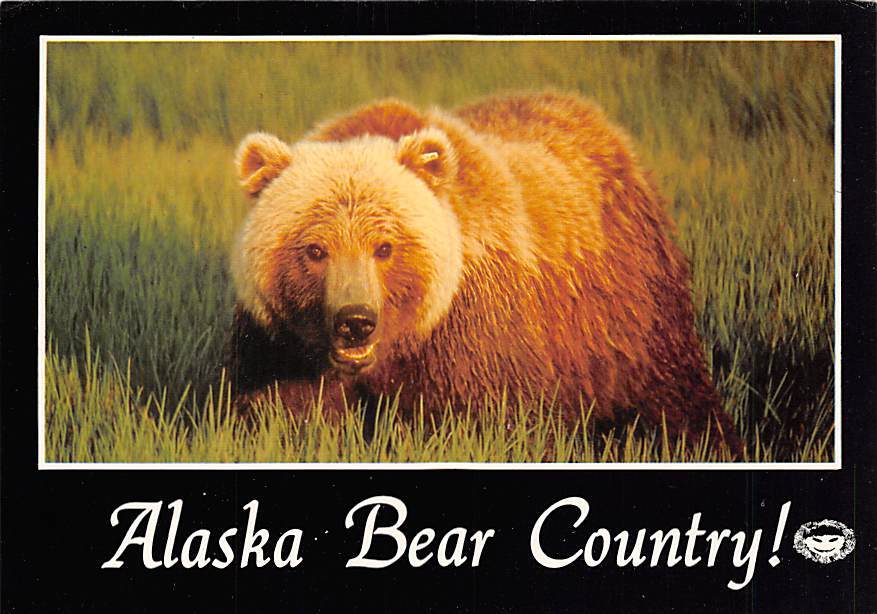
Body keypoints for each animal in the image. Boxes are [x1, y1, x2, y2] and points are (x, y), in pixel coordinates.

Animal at [226, 91, 741, 454]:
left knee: (672, 392)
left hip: (628, 304)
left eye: (385, 247)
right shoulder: (280, 346)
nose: (356, 320)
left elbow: (493, 424)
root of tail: (597, 119)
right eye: (315, 249)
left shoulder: (476, 331)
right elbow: (281, 416)